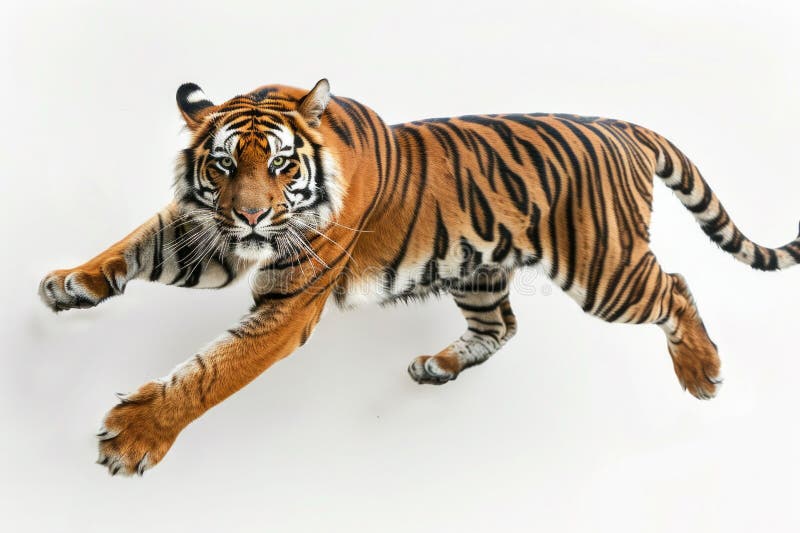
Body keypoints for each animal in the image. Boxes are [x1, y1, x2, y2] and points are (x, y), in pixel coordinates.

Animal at [39, 79, 800, 476]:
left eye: (281, 164)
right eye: (223, 164)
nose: (251, 215)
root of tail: (624, 125)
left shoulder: (288, 298)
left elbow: (211, 371)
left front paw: (134, 436)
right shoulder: (211, 235)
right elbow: (135, 244)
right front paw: (69, 282)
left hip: (605, 271)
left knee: (676, 285)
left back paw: (702, 372)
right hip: (475, 267)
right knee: (503, 325)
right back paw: (437, 365)